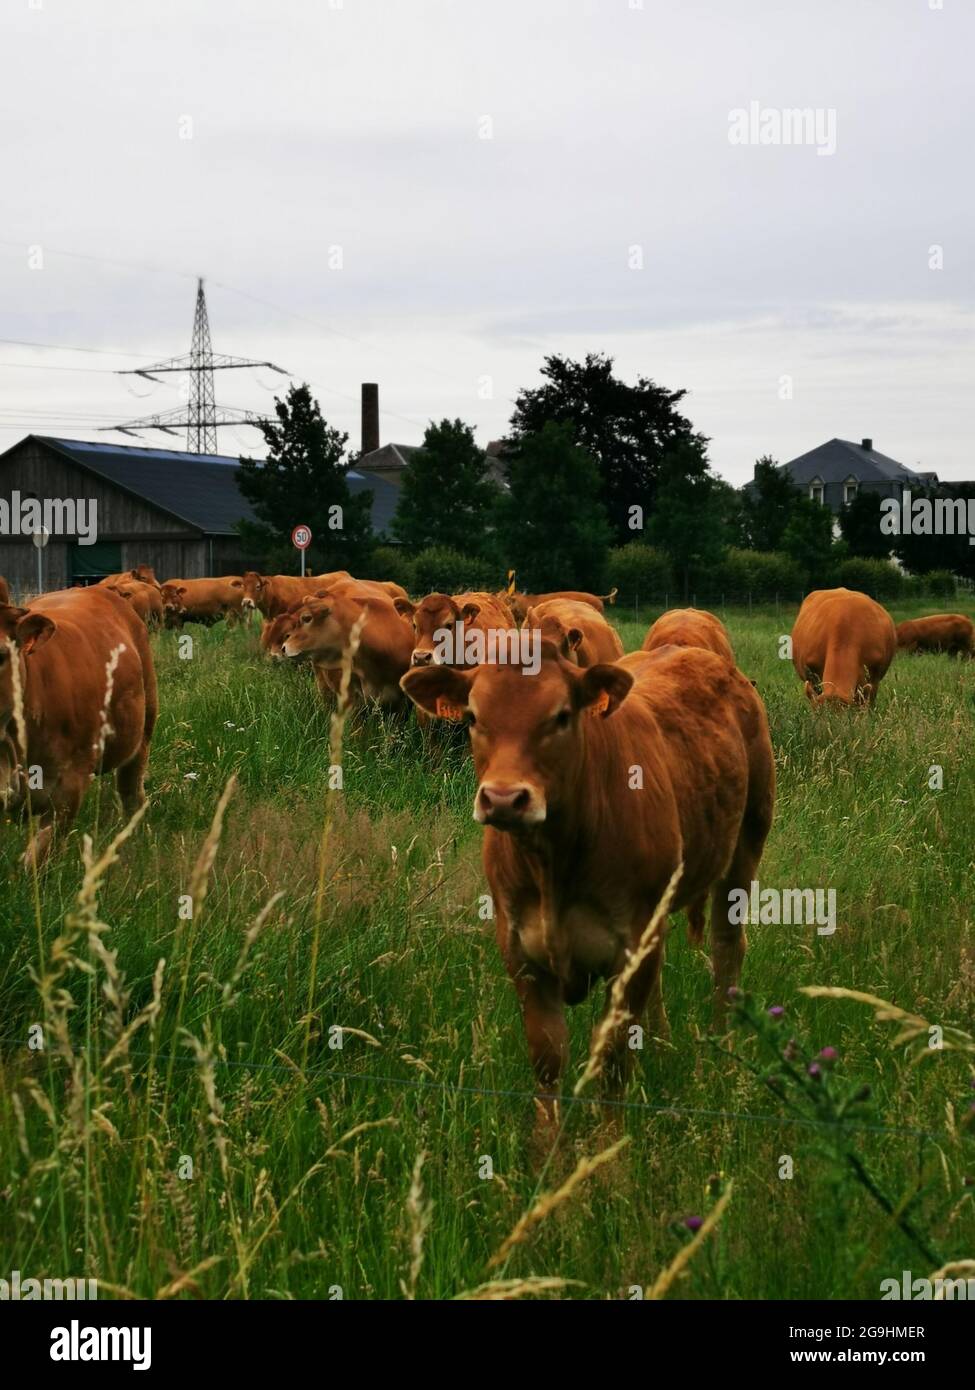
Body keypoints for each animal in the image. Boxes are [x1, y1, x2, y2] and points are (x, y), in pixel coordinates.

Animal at [400, 641, 775, 1120]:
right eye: (472, 717)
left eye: (561, 716)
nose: (503, 798)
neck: (553, 863)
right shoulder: (520, 948)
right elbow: (548, 1059)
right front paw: (547, 1138)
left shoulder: (631, 944)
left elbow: (612, 1060)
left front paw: (606, 1138)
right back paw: (661, 1045)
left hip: (746, 842)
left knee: (728, 947)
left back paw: (720, 1050)